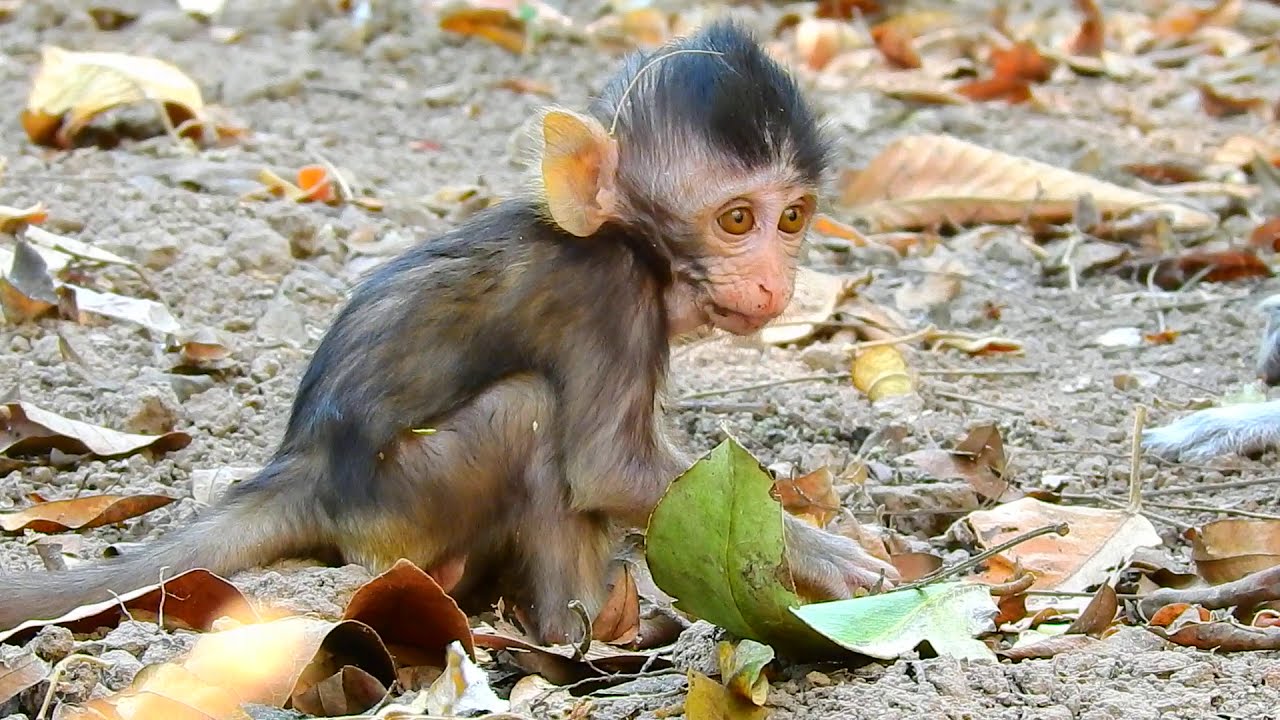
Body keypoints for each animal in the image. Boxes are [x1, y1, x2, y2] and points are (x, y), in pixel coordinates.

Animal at [0, 21, 899, 643]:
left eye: (792, 218)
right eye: (737, 218)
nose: (774, 280)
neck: (632, 245)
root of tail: (303, 466)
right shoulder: (608, 297)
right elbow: (606, 467)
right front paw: (822, 556)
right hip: (403, 509)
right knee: (527, 412)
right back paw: (589, 633)